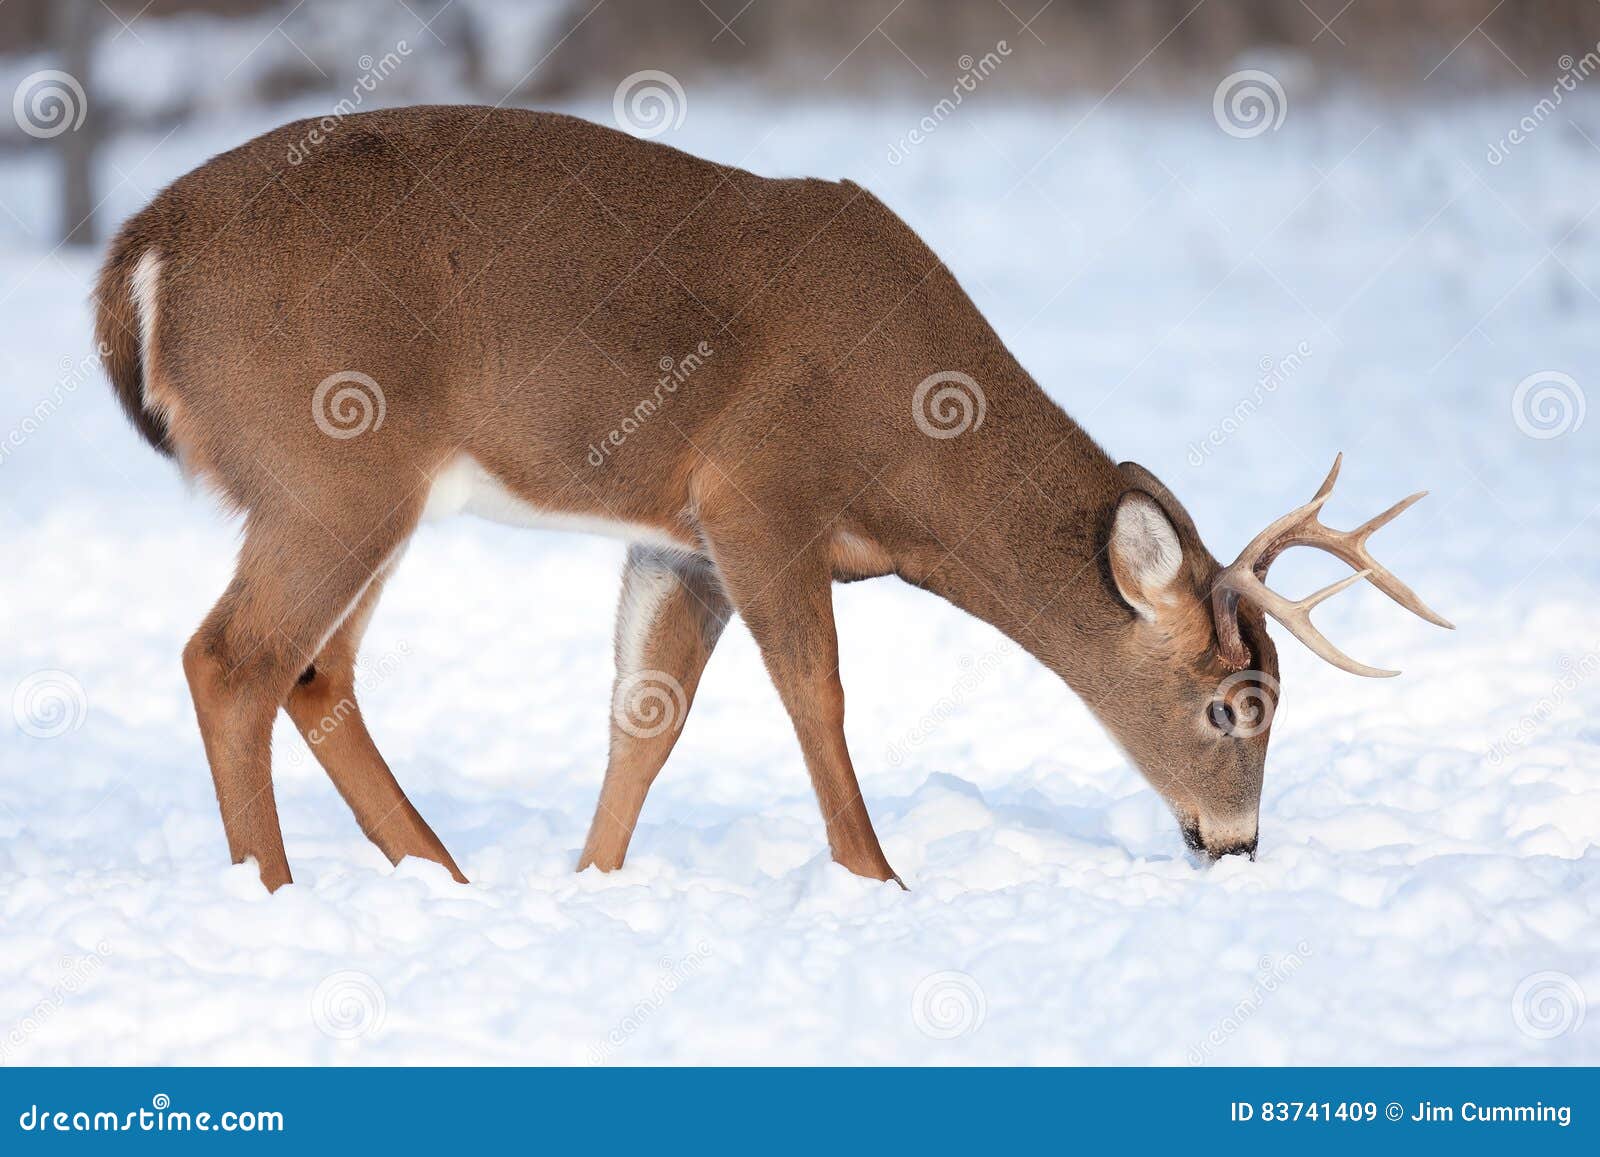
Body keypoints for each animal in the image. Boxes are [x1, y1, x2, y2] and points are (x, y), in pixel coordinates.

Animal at [93, 106, 1451, 892]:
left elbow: (644, 719)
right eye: (1236, 703)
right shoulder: (757, 489)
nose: (1234, 842)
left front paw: (594, 885)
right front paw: (877, 882)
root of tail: (141, 252)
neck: (914, 446)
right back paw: (273, 891)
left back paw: (443, 877)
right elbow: (818, 696)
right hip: (332, 467)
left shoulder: (676, 536)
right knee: (233, 659)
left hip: (364, 495)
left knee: (316, 672)